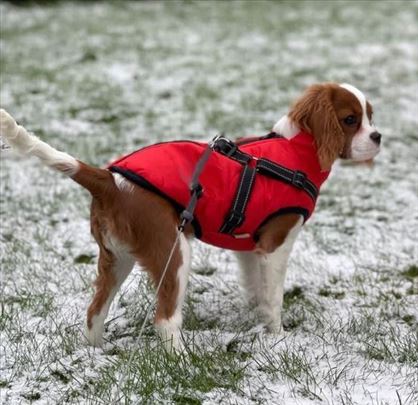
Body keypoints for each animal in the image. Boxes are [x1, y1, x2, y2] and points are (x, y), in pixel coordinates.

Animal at [0, 83, 380, 350]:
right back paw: (182, 361)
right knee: (165, 320)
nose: (378, 136)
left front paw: (255, 321)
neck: (294, 152)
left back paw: (95, 355)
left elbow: (256, 289)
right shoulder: (276, 243)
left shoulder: (249, 248)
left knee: (95, 311)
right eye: (350, 120)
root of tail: (109, 179)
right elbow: (273, 298)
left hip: (116, 259)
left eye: (370, 117)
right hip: (174, 251)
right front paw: (277, 337)